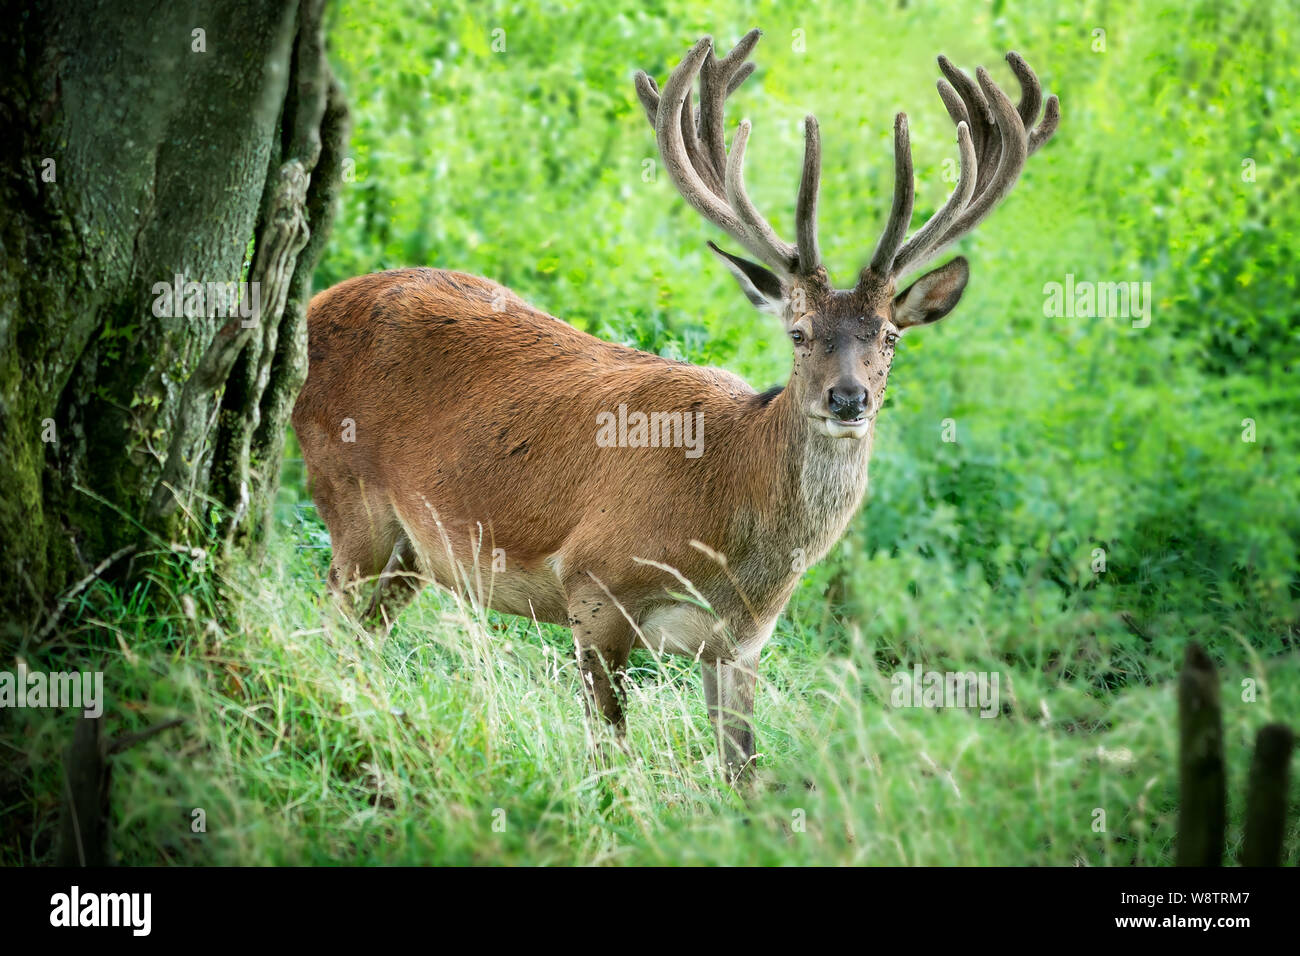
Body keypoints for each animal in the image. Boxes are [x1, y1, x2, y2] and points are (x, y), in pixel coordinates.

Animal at [292, 30, 1059, 781]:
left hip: (411, 555)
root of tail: (312, 306)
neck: (730, 533)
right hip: (350, 496)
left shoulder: (742, 646)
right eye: (798, 331)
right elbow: (611, 755)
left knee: (361, 638)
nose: (849, 397)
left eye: (891, 337)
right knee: (330, 620)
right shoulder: (593, 583)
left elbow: (743, 771)